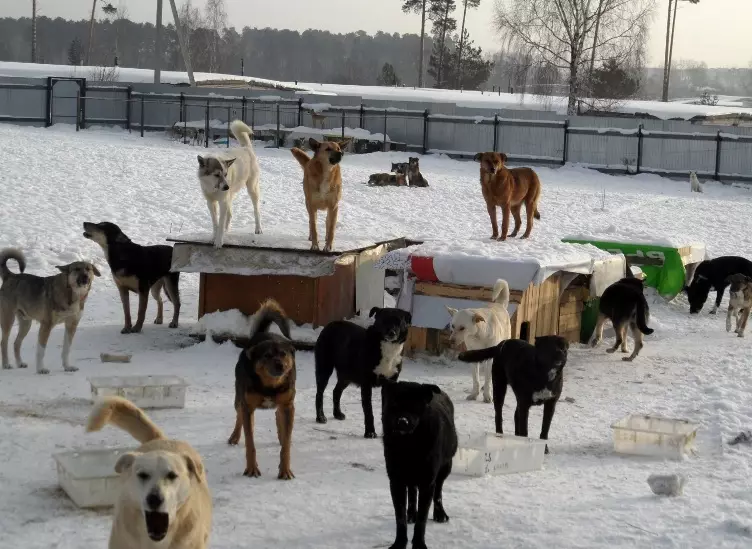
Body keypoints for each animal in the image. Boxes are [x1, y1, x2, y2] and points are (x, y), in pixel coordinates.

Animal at [197, 120, 262, 250]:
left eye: (225, 174)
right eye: (217, 175)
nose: (227, 187)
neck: (213, 188)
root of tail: (246, 148)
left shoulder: (222, 202)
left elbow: (221, 223)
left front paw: (218, 241)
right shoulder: (211, 203)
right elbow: (215, 223)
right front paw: (214, 237)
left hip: (252, 189)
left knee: (256, 210)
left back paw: (258, 229)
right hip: (230, 197)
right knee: (230, 214)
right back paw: (227, 231)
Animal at [226, 300, 296, 480]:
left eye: (284, 354)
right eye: (267, 356)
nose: (280, 365)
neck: (270, 386)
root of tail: (261, 334)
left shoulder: (288, 406)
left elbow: (286, 446)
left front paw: (285, 470)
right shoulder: (248, 407)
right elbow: (250, 443)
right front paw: (251, 469)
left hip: (284, 403)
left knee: (278, 415)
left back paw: (282, 435)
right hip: (239, 397)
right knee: (239, 415)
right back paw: (235, 436)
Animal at [316, 306, 414, 438]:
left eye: (399, 321)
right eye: (384, 320)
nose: (391, 333)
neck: (387, 347)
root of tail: (330, 324)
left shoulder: (390, 383)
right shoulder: (366, 384)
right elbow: (368, 411)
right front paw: (370, 432)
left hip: (346, 375)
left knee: (336, 391)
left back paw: (337, 413)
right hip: (324, 369)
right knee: (319, 394)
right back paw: (320, 417)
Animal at [382, 378, 458, 548]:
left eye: (415, 405)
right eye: (394, 404)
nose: (402, 422)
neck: (409, 444)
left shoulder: (427, 482)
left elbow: (422, 519)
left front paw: (418, 544)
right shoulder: (396, 482)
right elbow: (400, 517)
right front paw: (399, 543)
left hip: (445, 467)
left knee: (438, 491)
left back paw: (439, 513)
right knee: (412, 490)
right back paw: (411, 513)